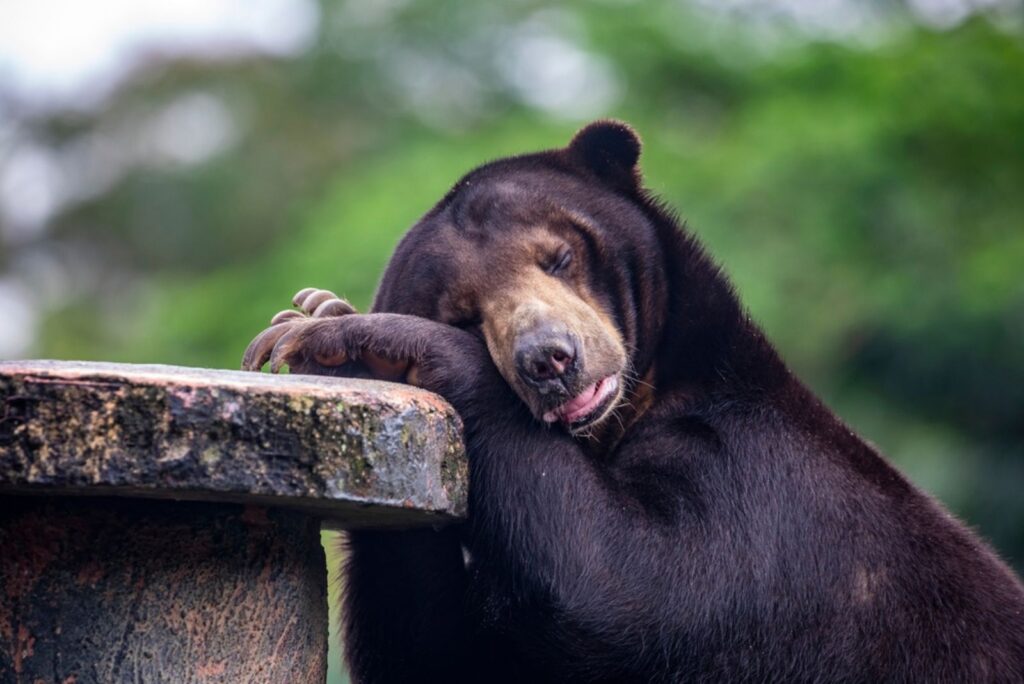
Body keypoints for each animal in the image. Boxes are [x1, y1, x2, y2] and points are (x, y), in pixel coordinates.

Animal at [243, 121, 1024, 683]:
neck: (630, 415)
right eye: (465, 311)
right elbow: (435, 655)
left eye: (558, 257)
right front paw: (316, 317)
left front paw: (339, 332)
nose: (550, 361)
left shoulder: (757, 493)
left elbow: (632, 583)